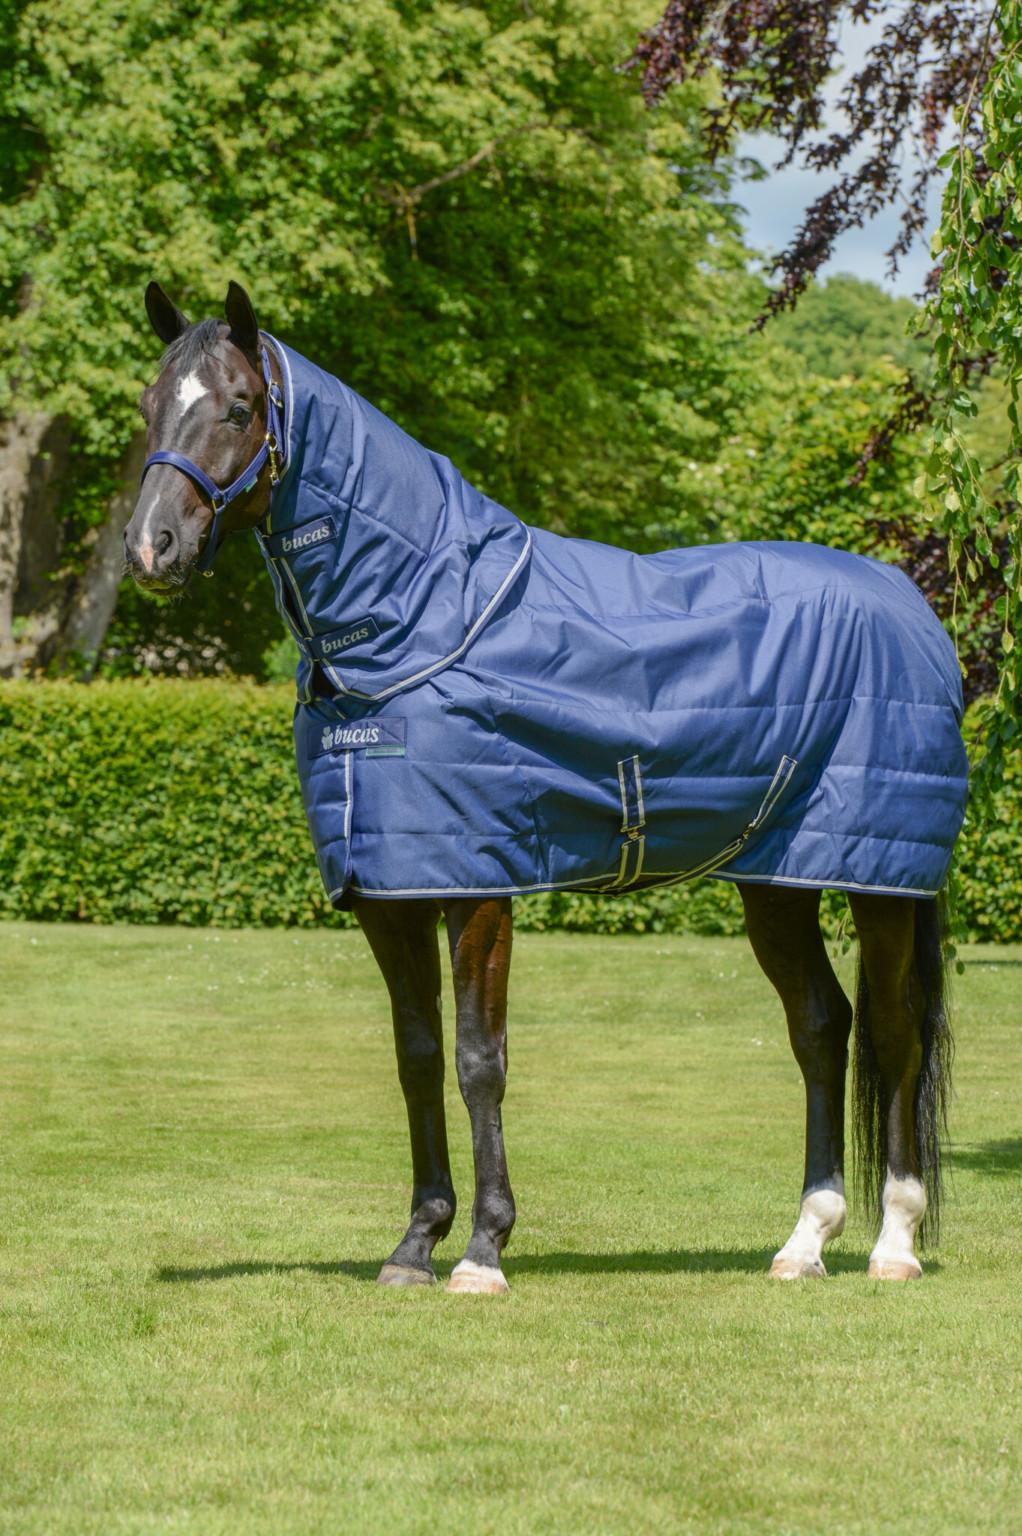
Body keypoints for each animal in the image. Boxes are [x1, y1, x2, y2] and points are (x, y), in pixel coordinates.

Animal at [124, 281, 967, 1294]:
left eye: (241, 408)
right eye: (150, 405)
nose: (152, 547)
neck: (421, 621)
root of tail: (910, 606)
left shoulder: (481, 888)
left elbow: (479, 1060)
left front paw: (484, 1250)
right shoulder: (391, 891)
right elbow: (417, 1055)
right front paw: (415, 1244)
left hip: (878, 882)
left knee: (895, 1030)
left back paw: (894, 1243)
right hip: (777, 879)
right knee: (820, 1027)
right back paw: (805, 1239)